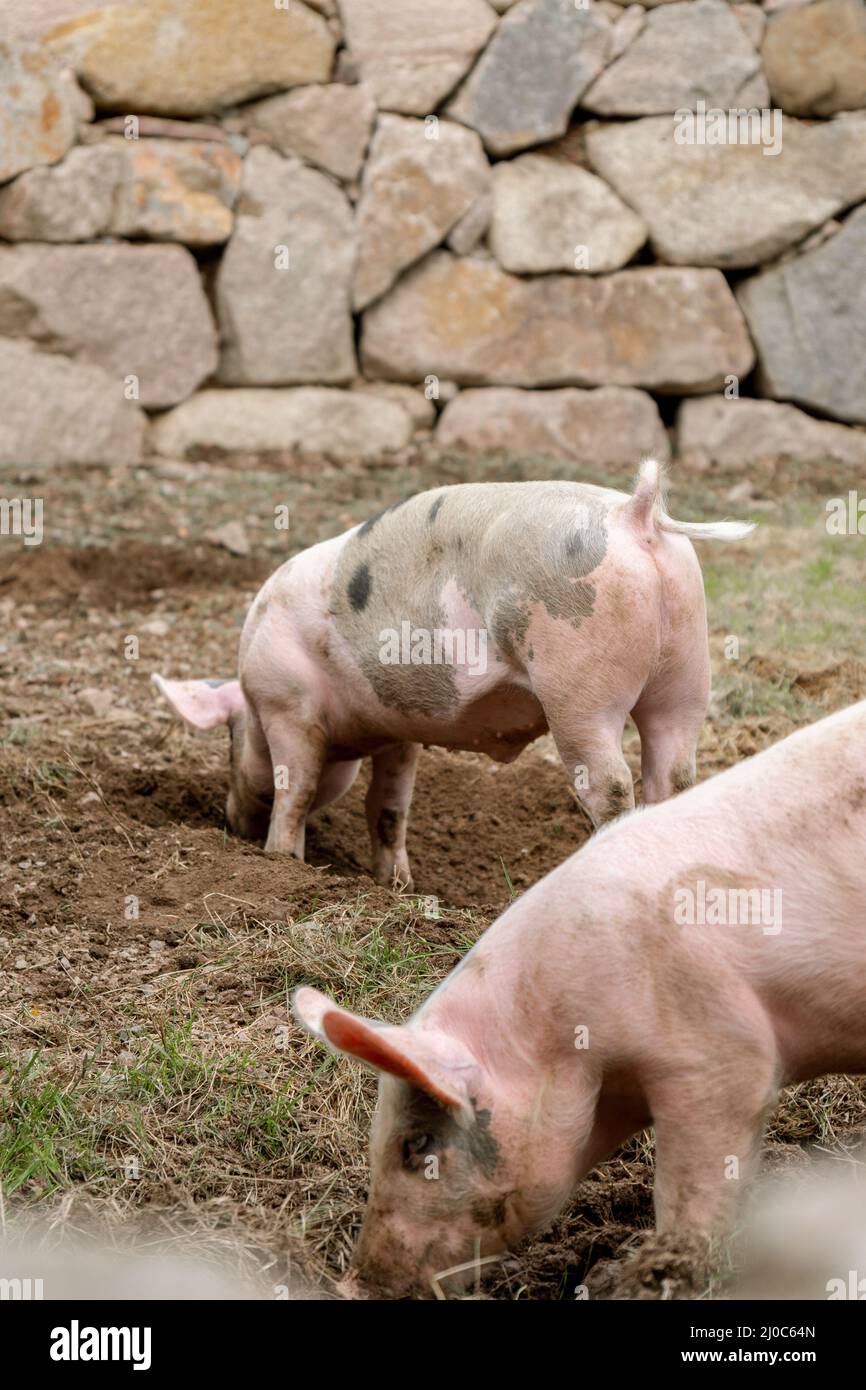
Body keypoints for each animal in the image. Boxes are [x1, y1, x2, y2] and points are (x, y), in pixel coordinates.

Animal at [152, 461, 752, 889]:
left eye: (230, 736)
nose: (230, 822)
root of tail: (636, 513)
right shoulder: (398, 729)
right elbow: (388, 808)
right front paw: (396, 888)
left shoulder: (288, 705)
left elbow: (293, 790)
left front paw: (281, 864)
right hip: (686, 674)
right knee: (676, 776)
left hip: (579, 687)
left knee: (610, 786)